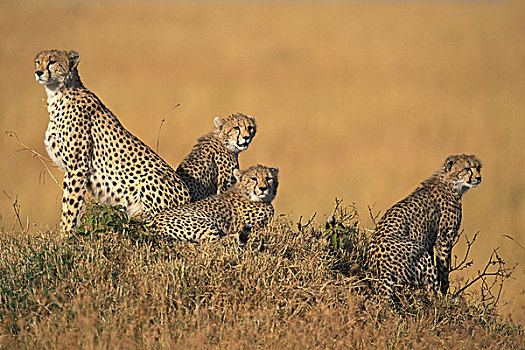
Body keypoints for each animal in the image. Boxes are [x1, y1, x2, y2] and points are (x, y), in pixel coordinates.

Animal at [34, 47, 190, 232]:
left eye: (52, 62)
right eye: (38, 62)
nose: (38, 72)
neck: (58, 95)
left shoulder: (78, 168)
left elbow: (70, 207)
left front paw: (66, 235)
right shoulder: (72, 169)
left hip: (150, 177)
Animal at [147, 165, 278, 243]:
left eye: (269, 178)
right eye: (253, 178)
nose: (263, 188)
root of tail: (153, 223)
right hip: (205, 223)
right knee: (215, 243)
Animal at [366, 154, 482, 300]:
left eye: (478, 168)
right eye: (467, 168)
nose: (478, 178)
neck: (450, 182)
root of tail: (380, 265)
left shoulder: (429, 241)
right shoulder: (444, 239)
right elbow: (443, 268)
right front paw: (445, 292)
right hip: (419, 251)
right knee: (433, 291)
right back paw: (445, 298)